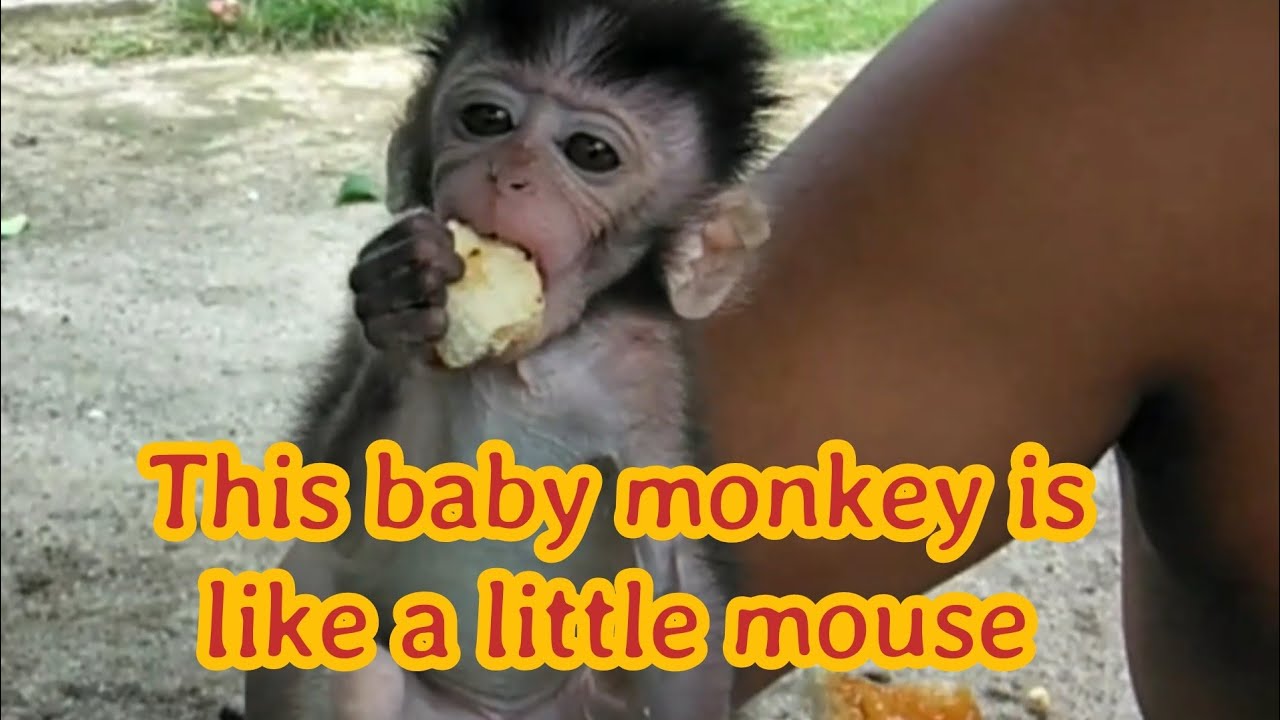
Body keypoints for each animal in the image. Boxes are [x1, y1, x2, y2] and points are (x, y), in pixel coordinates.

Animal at [235, 1, 782, 718]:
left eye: (591, 154)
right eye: (488, 119)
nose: (506, 172)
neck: (531, 357)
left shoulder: (649, 376)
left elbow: (676, 579)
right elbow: (324, 506)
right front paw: (396, 291)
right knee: (358, 664)